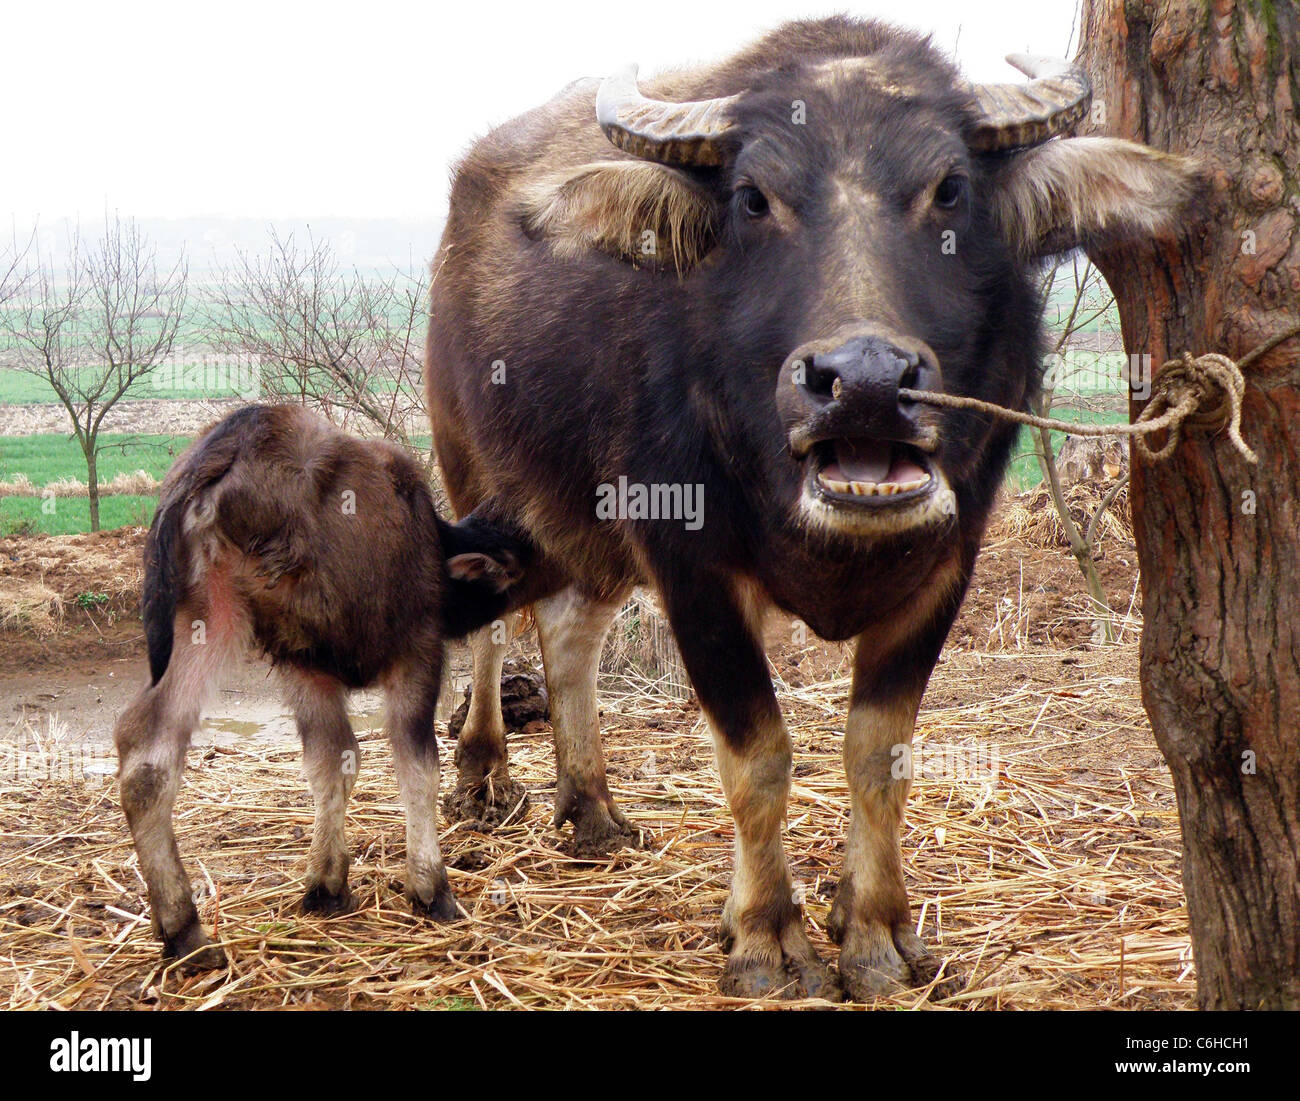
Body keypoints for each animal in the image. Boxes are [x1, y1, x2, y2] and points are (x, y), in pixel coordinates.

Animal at [113, 404, 529, 970]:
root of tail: (234, 440)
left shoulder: (304, 668)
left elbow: (332, 762)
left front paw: (326, 884)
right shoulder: (417, 653)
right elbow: (417, 766)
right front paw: (430, 887)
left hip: (203, 610)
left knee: (146, 751)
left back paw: (184, 932)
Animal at [424, 16, 1199, 1000]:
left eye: (950, 189)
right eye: (754, 200)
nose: (864, 383)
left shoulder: (947, 565)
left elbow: (879, 752)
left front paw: (873, 931)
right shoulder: (692, 565)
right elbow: (757, 755)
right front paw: (765, 938)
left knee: (570, 636)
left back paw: (590, 806)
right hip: (470, 467)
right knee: (491, 623)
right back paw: (483, 775)